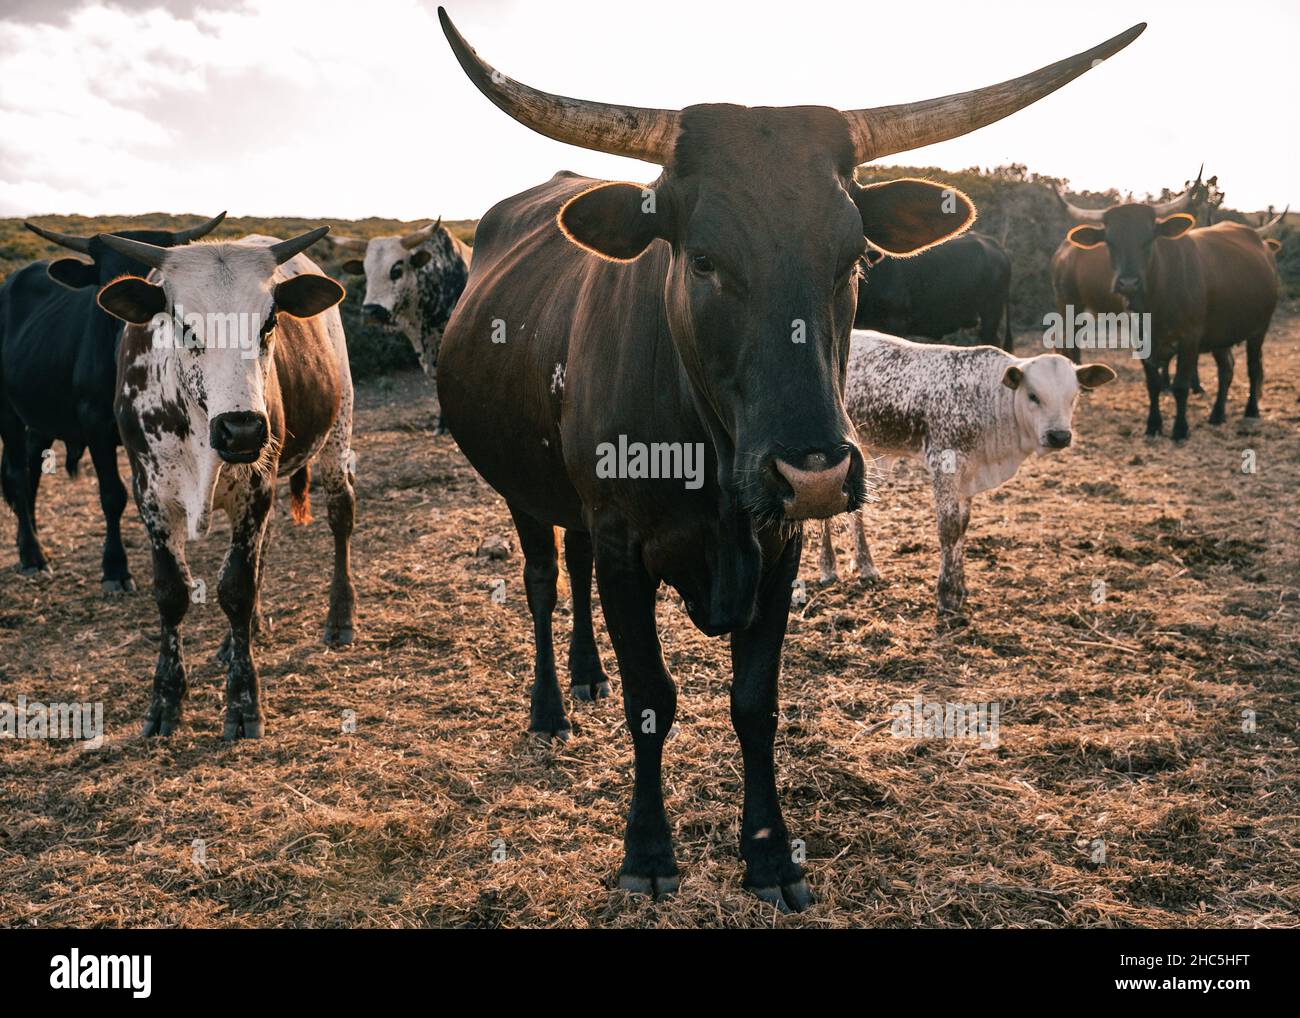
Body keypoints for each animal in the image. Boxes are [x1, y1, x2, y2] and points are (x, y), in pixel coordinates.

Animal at [0, 214, 226, 588]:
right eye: (106, 284)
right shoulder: (96, 427)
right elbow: (113, 495)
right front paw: (115, 569)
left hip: (41, 417)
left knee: (30, 473)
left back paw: (29, 547)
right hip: (9, 415)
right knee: (18, 474)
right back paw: (32, 555)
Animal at [94, 228, 357, 740]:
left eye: (270, 322)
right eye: (183, 324)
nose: (242, 430)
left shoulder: (255, 488)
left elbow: (236, 588)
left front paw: (243, 703)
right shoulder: (150, 494)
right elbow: (172, 592)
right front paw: (166, 700)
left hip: (338, 430)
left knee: (341, 516)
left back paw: (339, 617)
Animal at [818, 331, 1115, 612]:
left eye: (1074, 397)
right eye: (1033, 396)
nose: (1059, 436)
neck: (991, 400)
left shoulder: (970, 472)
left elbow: (962, 526)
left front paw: (960, 587)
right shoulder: (944, 465)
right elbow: (948, 529)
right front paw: (946, 595)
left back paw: (865, 565)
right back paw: (828, 567)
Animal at [1060, 194, 1279, 441]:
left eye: (1148, 239)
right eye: (1110, 241)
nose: (1128, 283)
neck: (1155, 301)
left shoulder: (1190, 338)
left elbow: (1181, 385)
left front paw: (1180, 429)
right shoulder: (1141, 342)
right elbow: (1152, 384)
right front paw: (1153, 425)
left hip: (1259, 328)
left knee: (1253, 368)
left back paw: (1251, 411)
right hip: (1220, 335)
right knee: (1227, 369)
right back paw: (1217, 413)